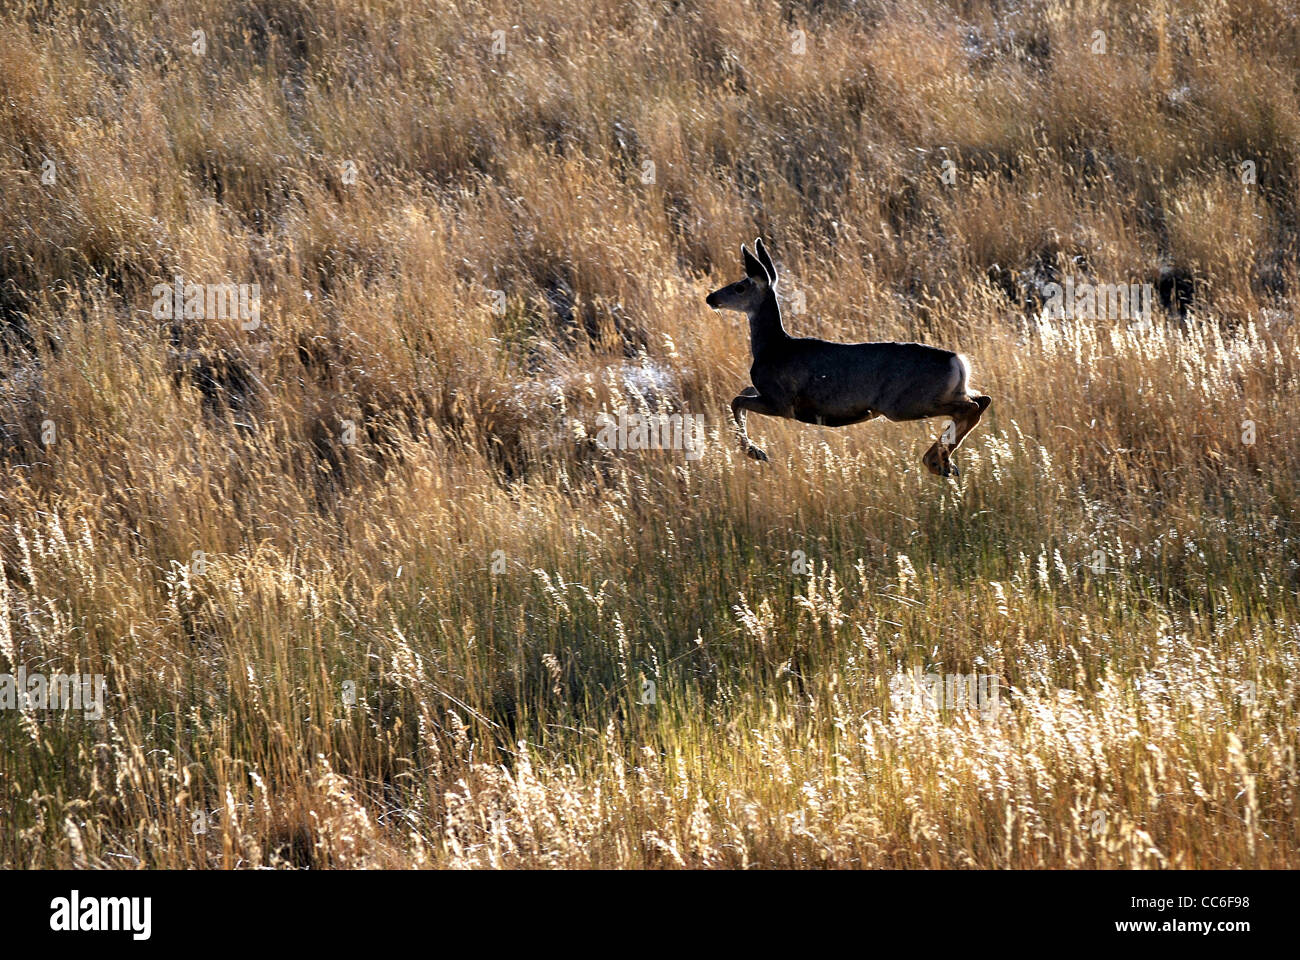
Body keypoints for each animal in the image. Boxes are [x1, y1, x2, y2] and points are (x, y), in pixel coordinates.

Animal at [705, 238, 991, 477]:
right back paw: (944, 463)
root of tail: (958, 361)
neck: (772, 347)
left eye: (739, 287)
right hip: (943, 393)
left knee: (971, 407)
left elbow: (737, 400)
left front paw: (756, 452)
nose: (711, 297)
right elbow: (742, 392)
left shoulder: (781, 402)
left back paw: (935, 461)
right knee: (981, 400)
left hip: (905, 402)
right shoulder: (769, 395)